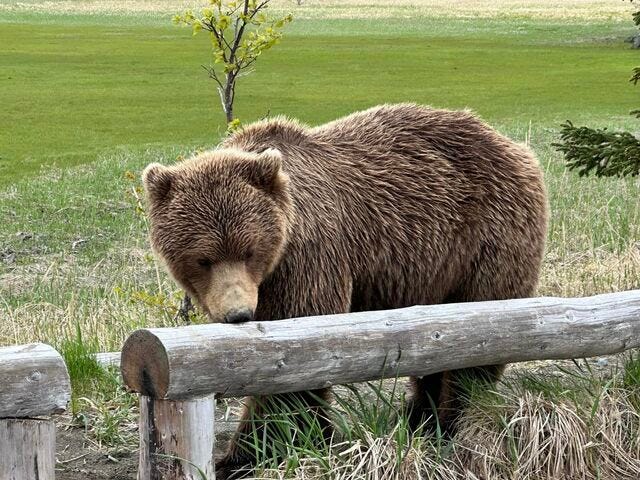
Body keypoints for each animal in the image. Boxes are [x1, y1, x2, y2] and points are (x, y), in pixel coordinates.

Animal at [142, 103, 548, 479]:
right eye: (203, 259)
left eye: (249, 250)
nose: (238, 313)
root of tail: (512, 145)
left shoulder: (308, 254)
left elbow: (295, 354)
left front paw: (251, 454)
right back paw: (419, 416)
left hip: (488, 235)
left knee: (480, 339)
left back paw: (452, 420)